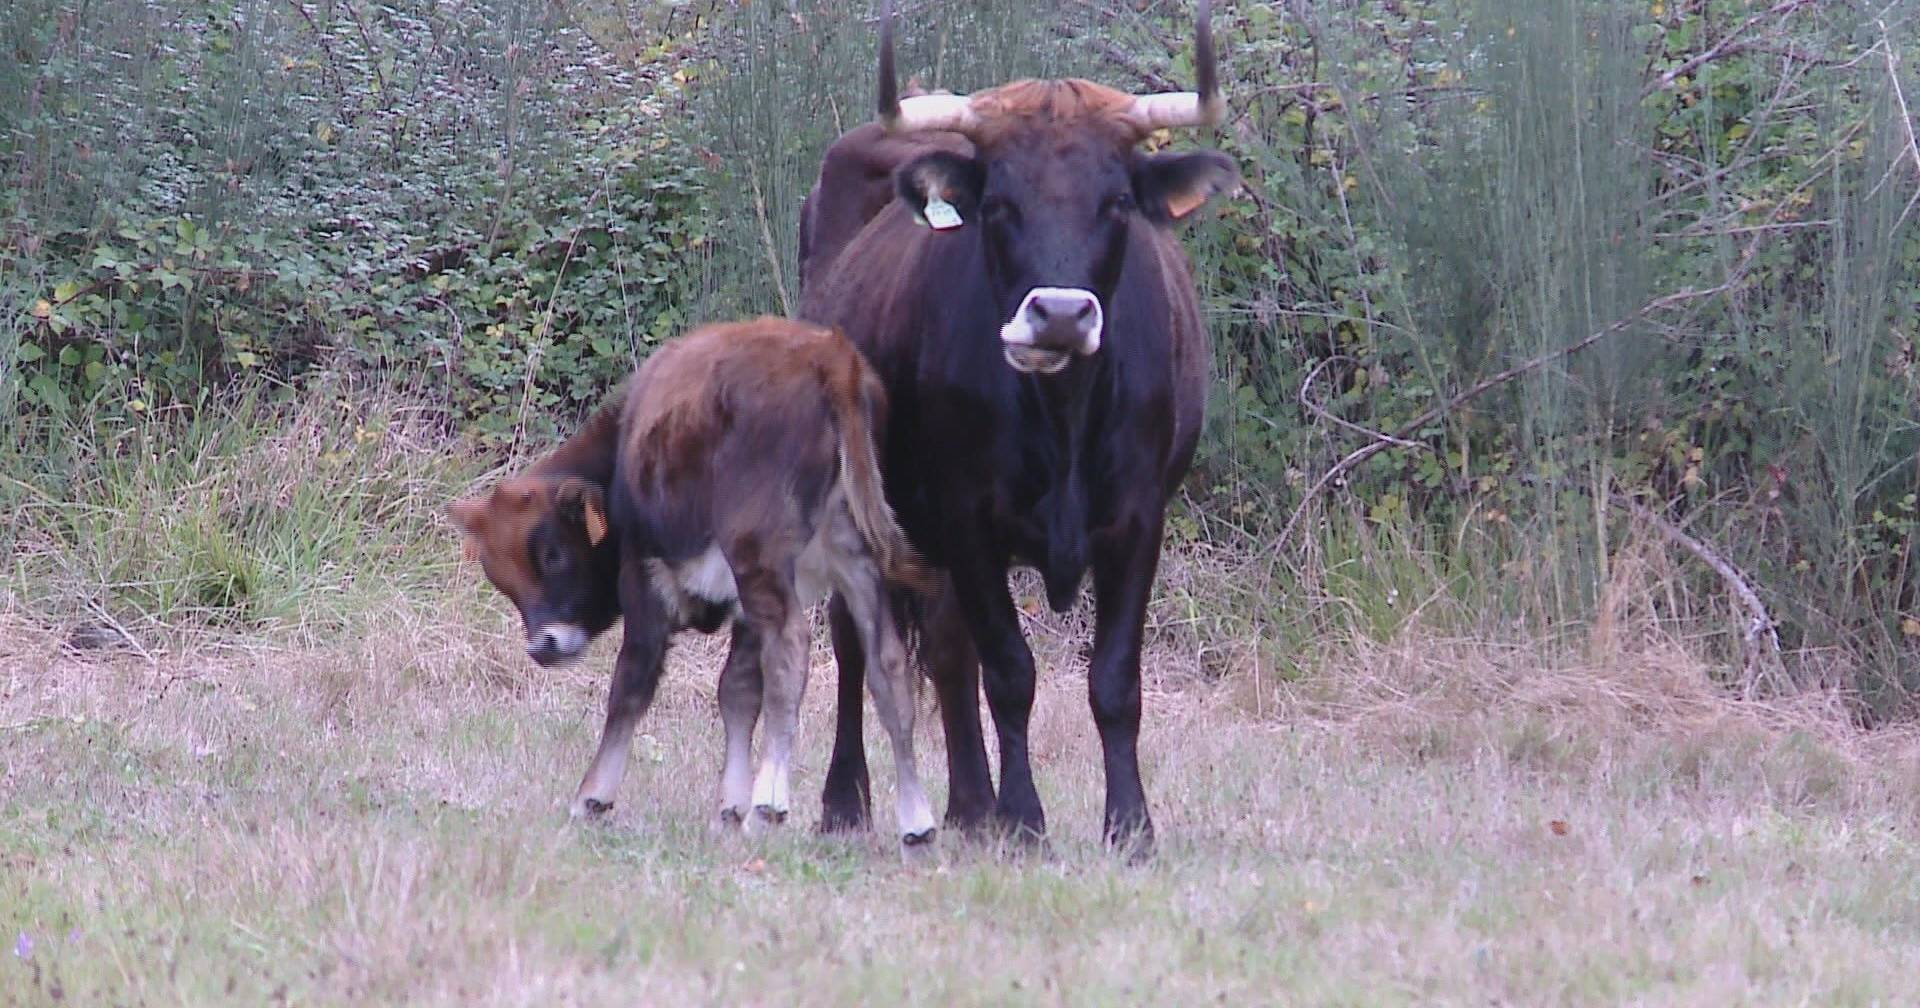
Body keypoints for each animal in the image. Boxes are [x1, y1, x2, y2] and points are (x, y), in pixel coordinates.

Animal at [449, 317, 940, 847]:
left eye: (552, 553)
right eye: (501, 578)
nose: (544, 645)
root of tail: (831, 358)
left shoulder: (646, 578)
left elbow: (632, 681)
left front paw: (592, 797)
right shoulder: (746, 608)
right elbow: (737, 692)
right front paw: (727, 806)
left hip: (760, 560)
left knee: (790, 651)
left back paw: (770, 802)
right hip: (857, 565)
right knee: (888, 665)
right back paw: (916, 821)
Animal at [798, 1, 1237, 854]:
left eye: (1117, 203)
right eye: (1000, 205)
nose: (1059, 314)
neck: (1062, 413)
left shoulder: (1138, 522)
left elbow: (1112, 680)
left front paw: (1130, 825)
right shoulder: (969, 520)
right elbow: (1009, 672)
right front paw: (1026, 818)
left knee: (944, 646)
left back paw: (971, 804)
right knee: (856, 640)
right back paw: (846, 800)